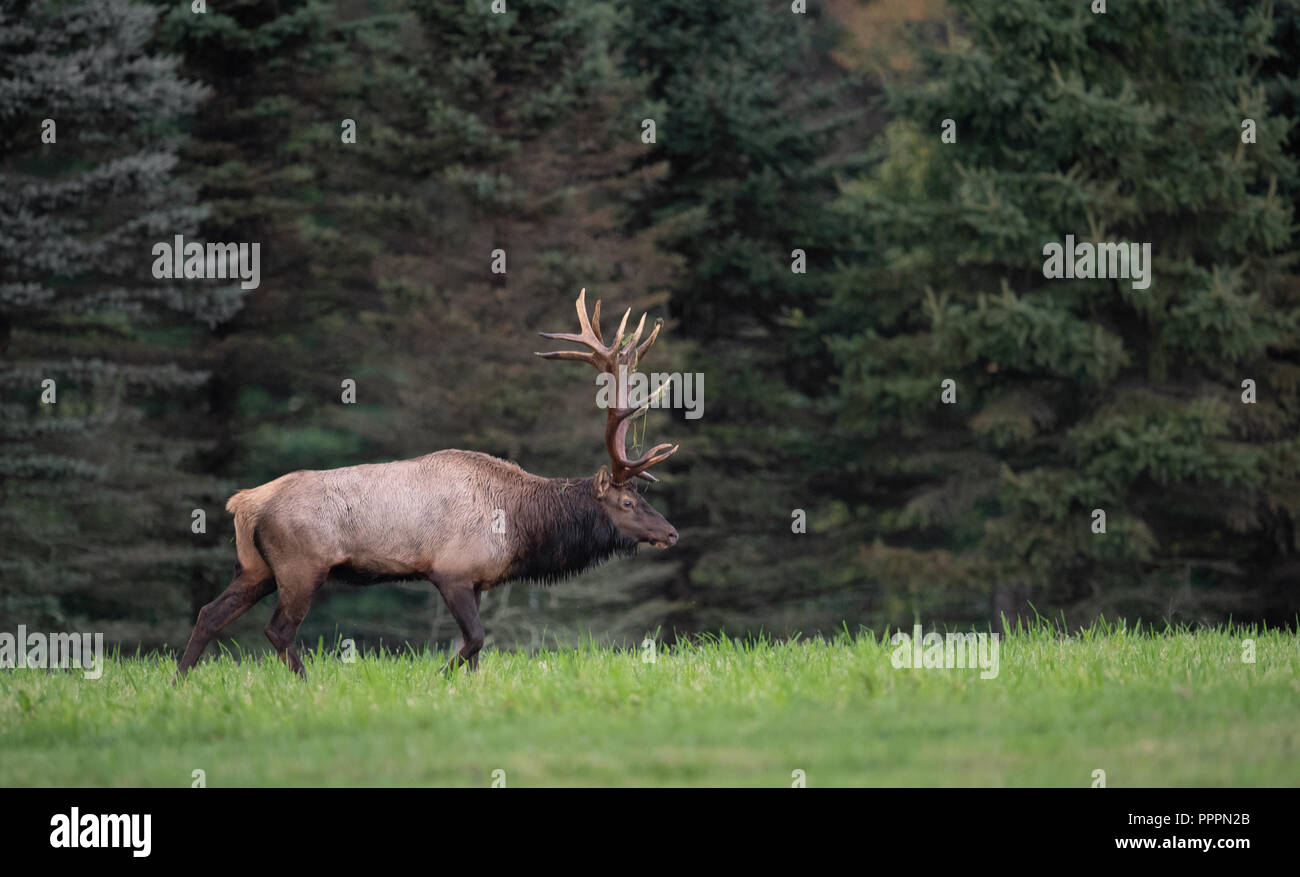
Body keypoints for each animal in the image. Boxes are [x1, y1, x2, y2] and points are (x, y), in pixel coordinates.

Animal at [175, 289, 680, 679]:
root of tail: (245, 504)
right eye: (628, 501)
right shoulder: (450, 571)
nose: (671, 532)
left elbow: (478, 652)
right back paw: (303, 683)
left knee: (209, 613)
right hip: (301, 567)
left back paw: (180, 682)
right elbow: (474, 640)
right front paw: (437, 678)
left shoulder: (477, 581)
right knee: (277, 630)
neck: (519, 524)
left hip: (256, 569)